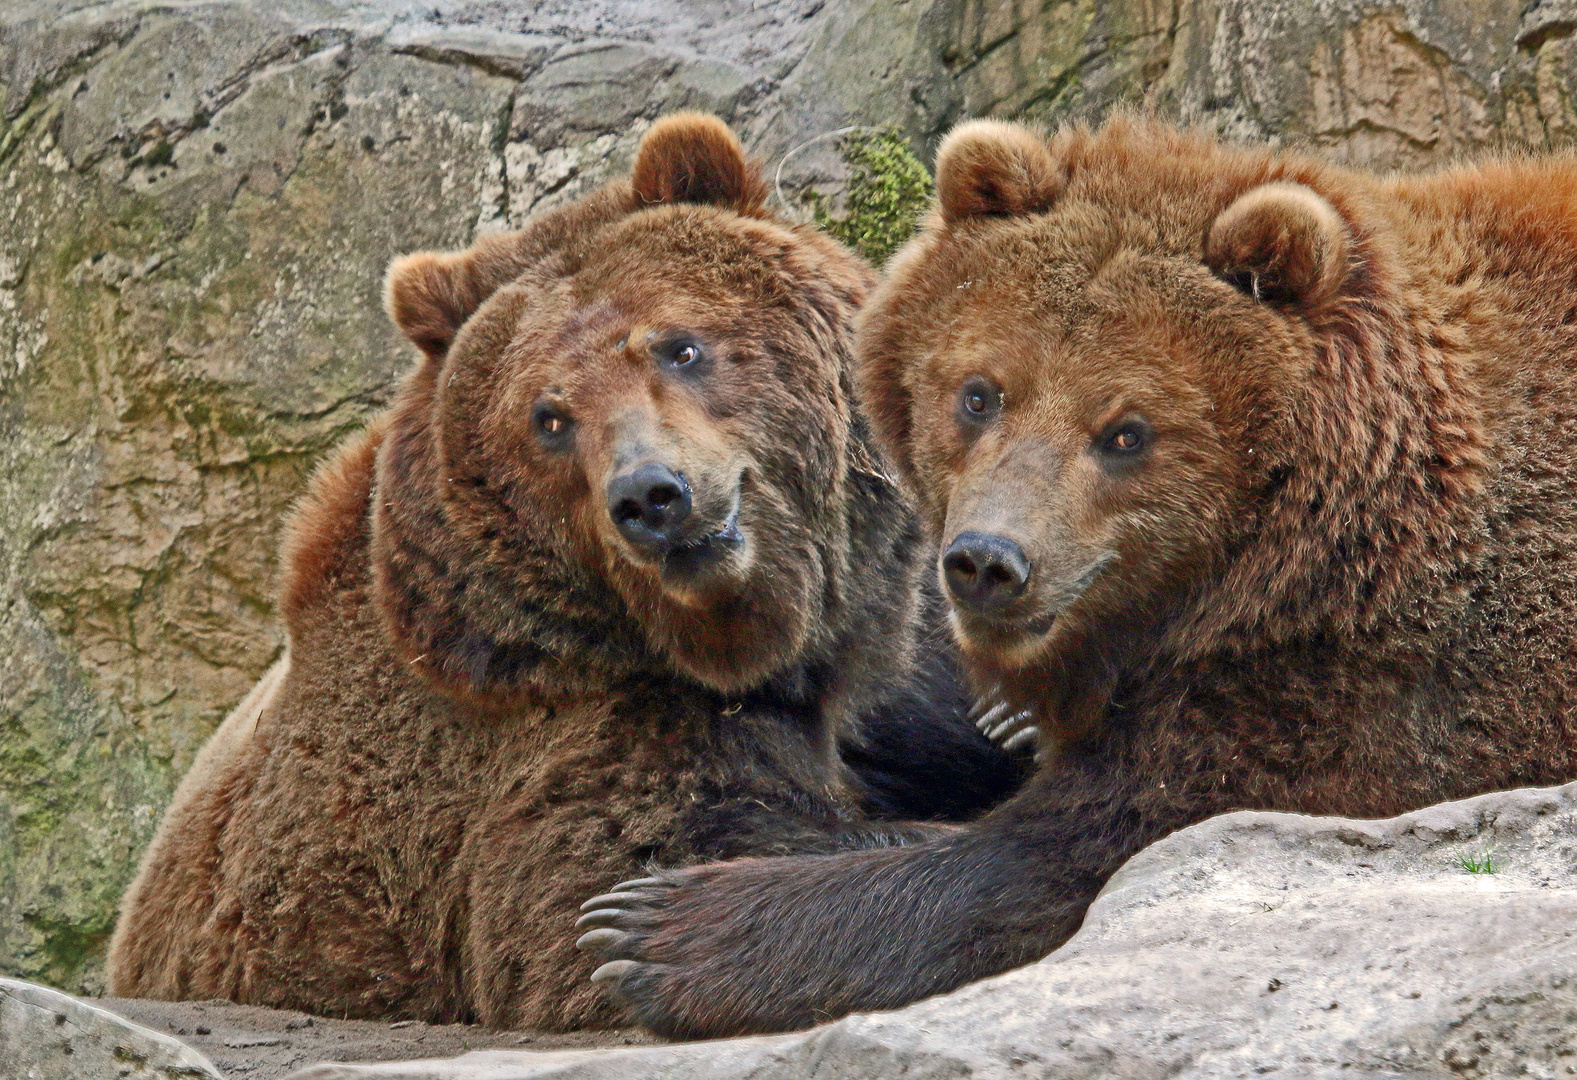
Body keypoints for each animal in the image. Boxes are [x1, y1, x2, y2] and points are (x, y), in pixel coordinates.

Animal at [105, 112, 1015, 1031]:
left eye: (678, 346)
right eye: (548, 417)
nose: (649, 495)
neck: (761, 633)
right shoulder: (559, 732)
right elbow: (585, 897)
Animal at [574, 115, 1577, 1038]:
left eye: (1126, 431)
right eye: (979, 393)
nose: (986, 562)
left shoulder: (1386, 688)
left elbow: (1081, 843)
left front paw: (653, 930)